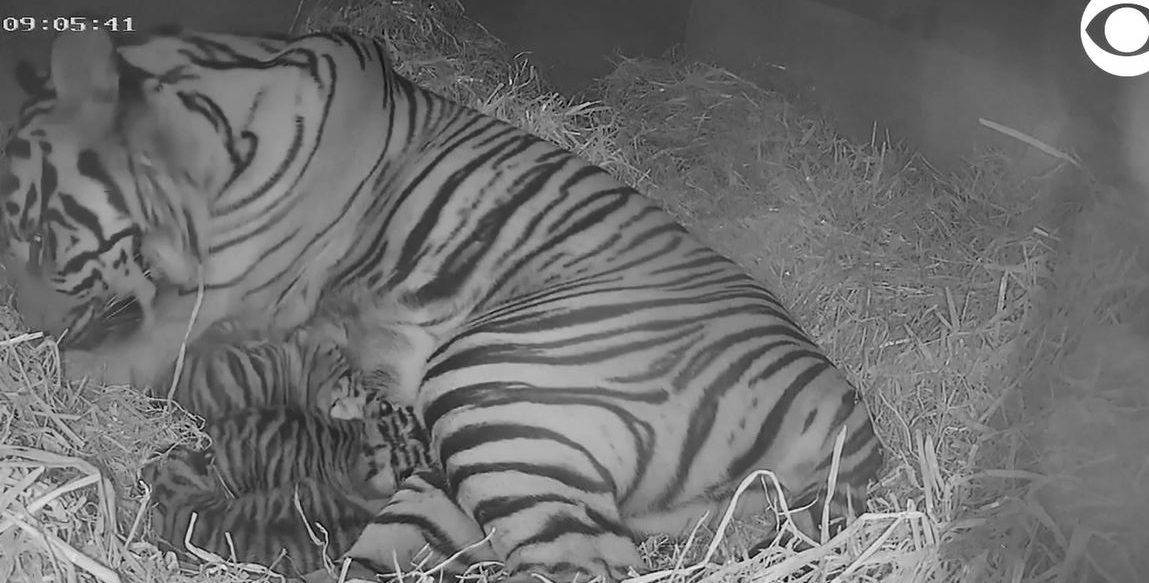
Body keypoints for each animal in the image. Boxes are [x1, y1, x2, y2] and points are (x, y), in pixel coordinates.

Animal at [1, 26, 885, 583]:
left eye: (38, 234)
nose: (24, 322)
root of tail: (849, 414)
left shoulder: (197, 308)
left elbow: (105, 361)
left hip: (493, 380)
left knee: (582, 567)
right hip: (466, 480)